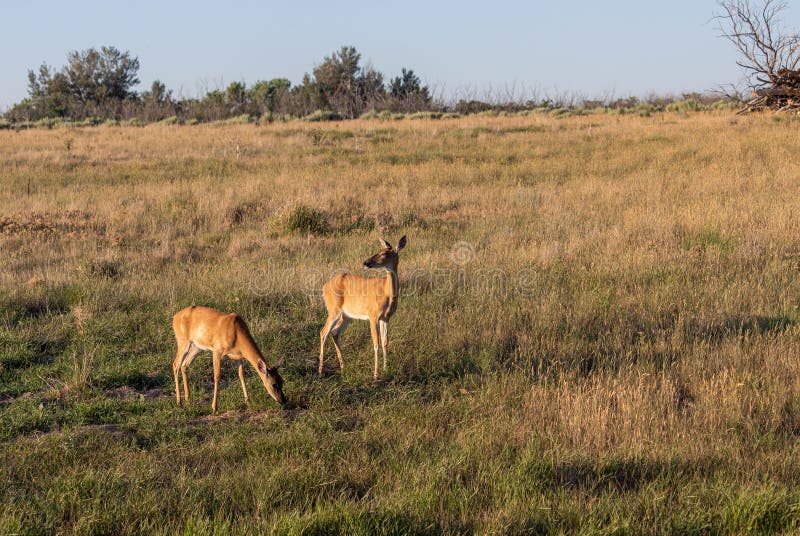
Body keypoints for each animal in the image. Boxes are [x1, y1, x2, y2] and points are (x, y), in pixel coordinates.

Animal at [319, 236, 407, 379]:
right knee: (323, 332)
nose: (366, 262)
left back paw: (343, 367)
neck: (386, 291)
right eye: (378, 250)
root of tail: (325, 286)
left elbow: (385, 342)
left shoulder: (386, 317)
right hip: (333, 309)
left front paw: (386, 369)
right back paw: (320, 371)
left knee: (335, 332)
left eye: (384, 253)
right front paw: (376, 374)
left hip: (346, 315)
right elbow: (376, 343)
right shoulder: (373, 315)